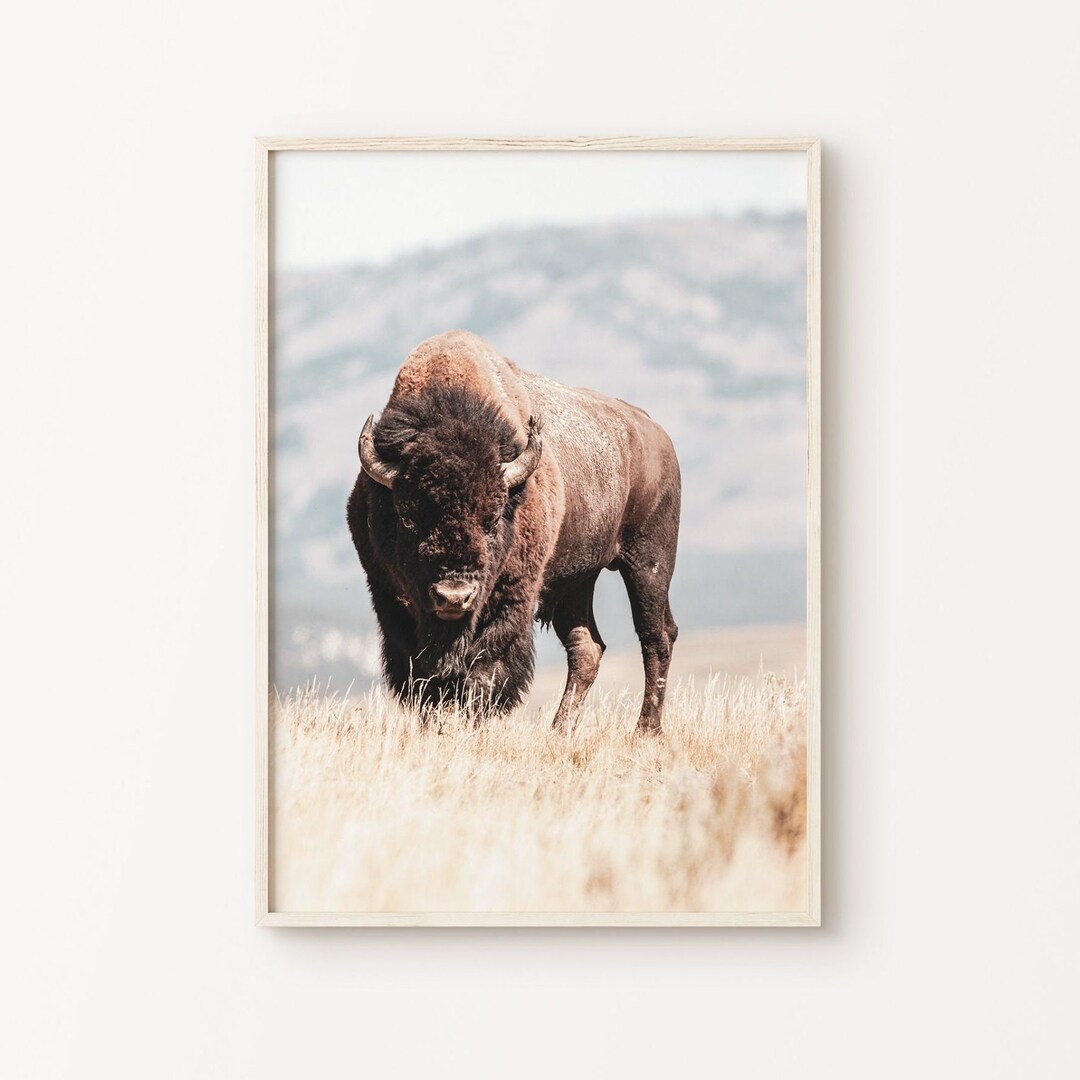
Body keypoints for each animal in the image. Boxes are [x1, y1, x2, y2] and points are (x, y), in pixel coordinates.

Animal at [346, 330, 681, 732]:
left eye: (492, 519)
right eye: (409, 519)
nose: (454, 597)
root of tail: (654, 431)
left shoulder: (512, 596)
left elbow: (484, 668)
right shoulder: (388, 595)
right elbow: (422, 677)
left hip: (649, 563)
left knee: (656, 637)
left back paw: (645, 730)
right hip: (577, 580)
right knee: (586, 648)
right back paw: (559, 731)